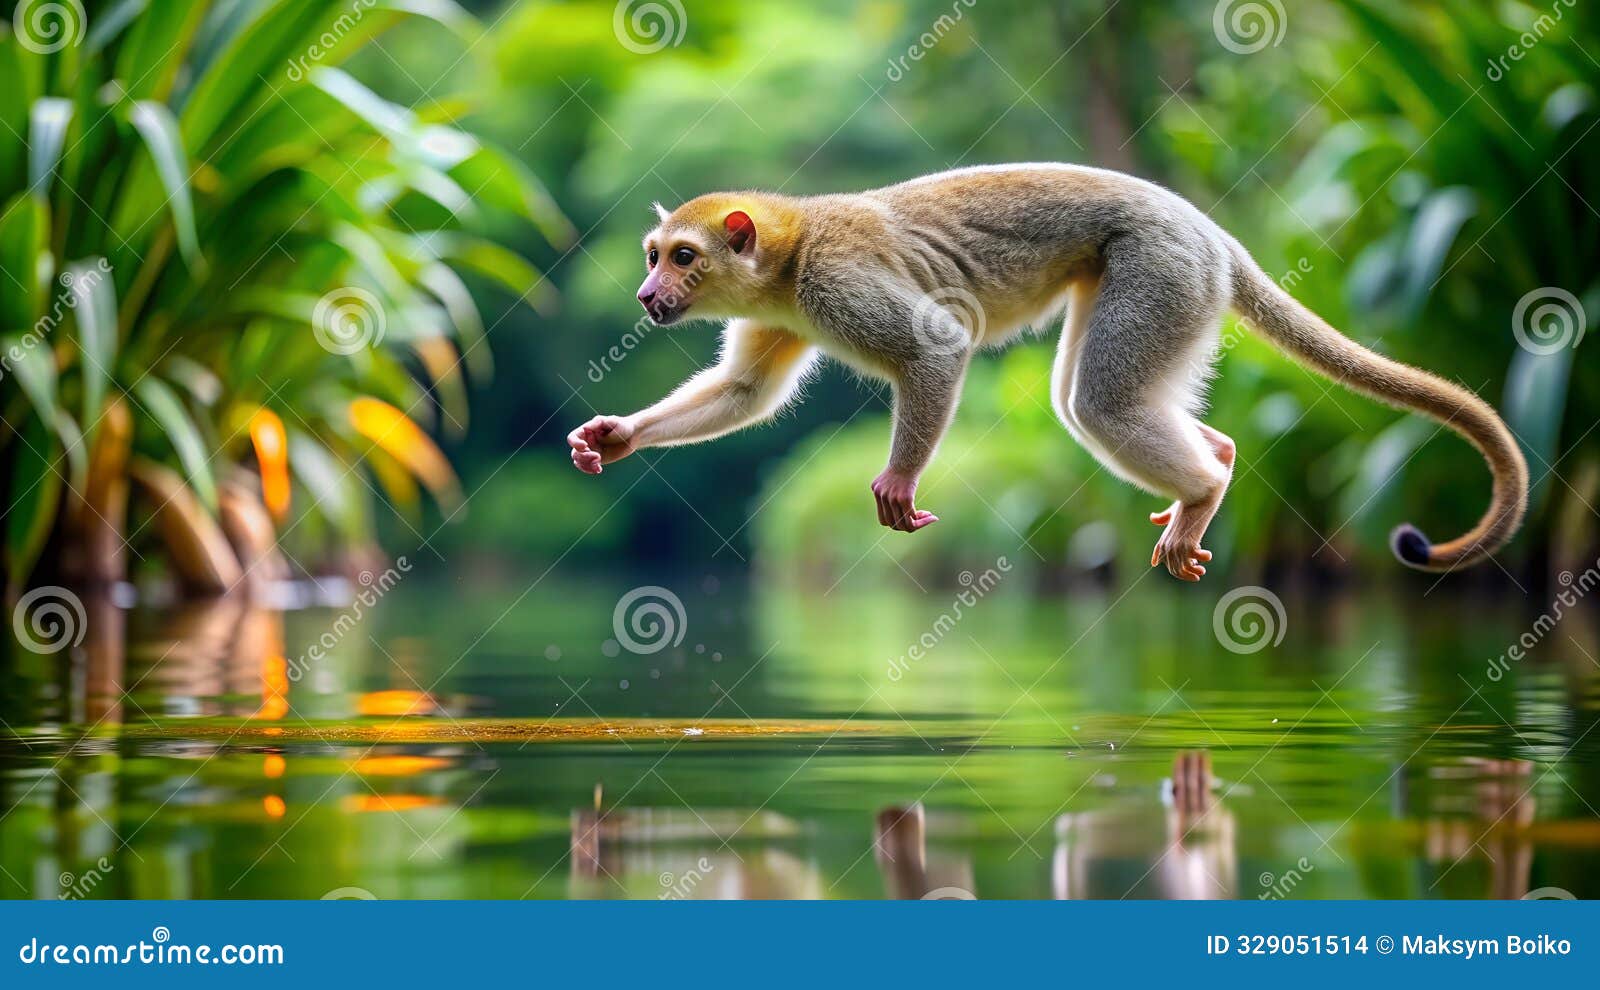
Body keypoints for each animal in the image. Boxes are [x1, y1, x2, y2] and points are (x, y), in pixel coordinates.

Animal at [568, 164, 1528, 581]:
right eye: (654, 255)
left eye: (683, 258)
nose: (650, 292)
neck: (787, 259)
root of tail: (1209, 232)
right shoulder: (779, 310)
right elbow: (744, 393)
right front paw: (616, 438)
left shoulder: (834, 285)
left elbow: (935, 348)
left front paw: (900, 478)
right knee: (1084, 402)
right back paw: (1215, 456)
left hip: (1164, 268)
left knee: (1098, 404)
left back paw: (1205, 485)